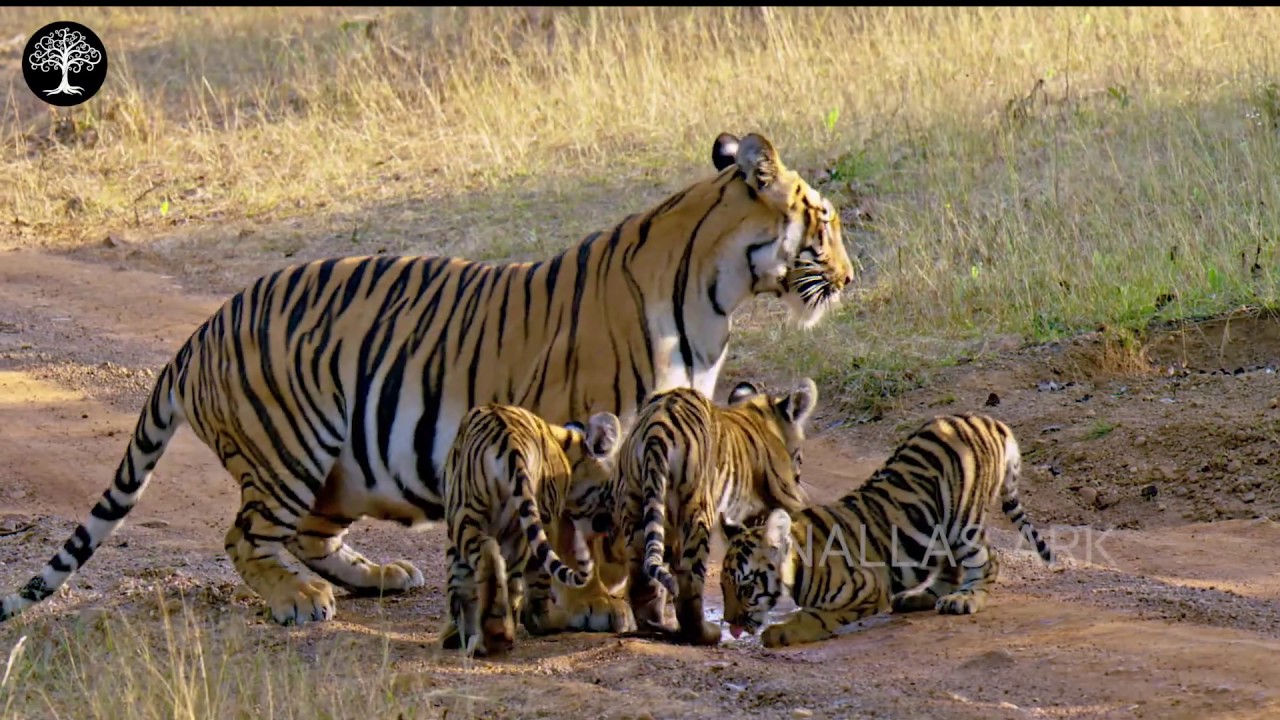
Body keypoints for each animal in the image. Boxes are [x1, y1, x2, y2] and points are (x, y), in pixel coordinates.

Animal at [440, 404, 621, 656]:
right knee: (515, 577)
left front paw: (455, 633)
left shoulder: (454, 522)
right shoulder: (550, 522)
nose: (611, 525)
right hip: (526, 523)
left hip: (470, 513)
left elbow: (457, 579)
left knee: (488, 559)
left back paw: (488, 632)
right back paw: (515, 630)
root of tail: (510, 441)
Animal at [605, 377, 817, 646]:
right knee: (688, 586)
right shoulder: (786, 496)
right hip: (698, 513)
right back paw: (705, 633)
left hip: (634, 506)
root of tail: (656, 428)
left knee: (642, 582)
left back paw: (655, 626)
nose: (800, 473)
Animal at [720, 413, 1055, 648]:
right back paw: (919, 598)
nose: (729, 622)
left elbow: (815, 614)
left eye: (746, 588)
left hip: (962, 518)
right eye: (724, 588)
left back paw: (964, 600)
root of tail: (990, 420)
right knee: (950, 566)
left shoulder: (867, 587)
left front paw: (780, 633)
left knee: (986, 561)